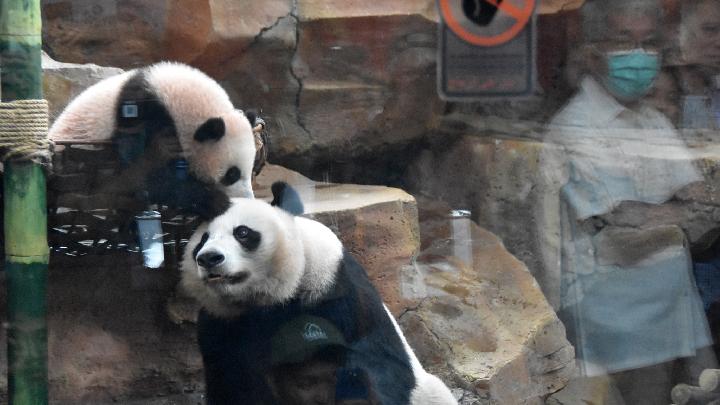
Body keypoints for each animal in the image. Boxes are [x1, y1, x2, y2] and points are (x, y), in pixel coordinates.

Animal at [49, 62, 263, 218]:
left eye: (251, 169)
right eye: (232, 174)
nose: (248, 198)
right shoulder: (139, 115)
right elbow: (141, 175)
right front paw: (216, 201)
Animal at [181, 182, 457, 405]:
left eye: (242, 232)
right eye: (202, 240)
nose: (209, 258)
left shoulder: (337, 293)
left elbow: (379, 366)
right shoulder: (221, 327)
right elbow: (233, 384)